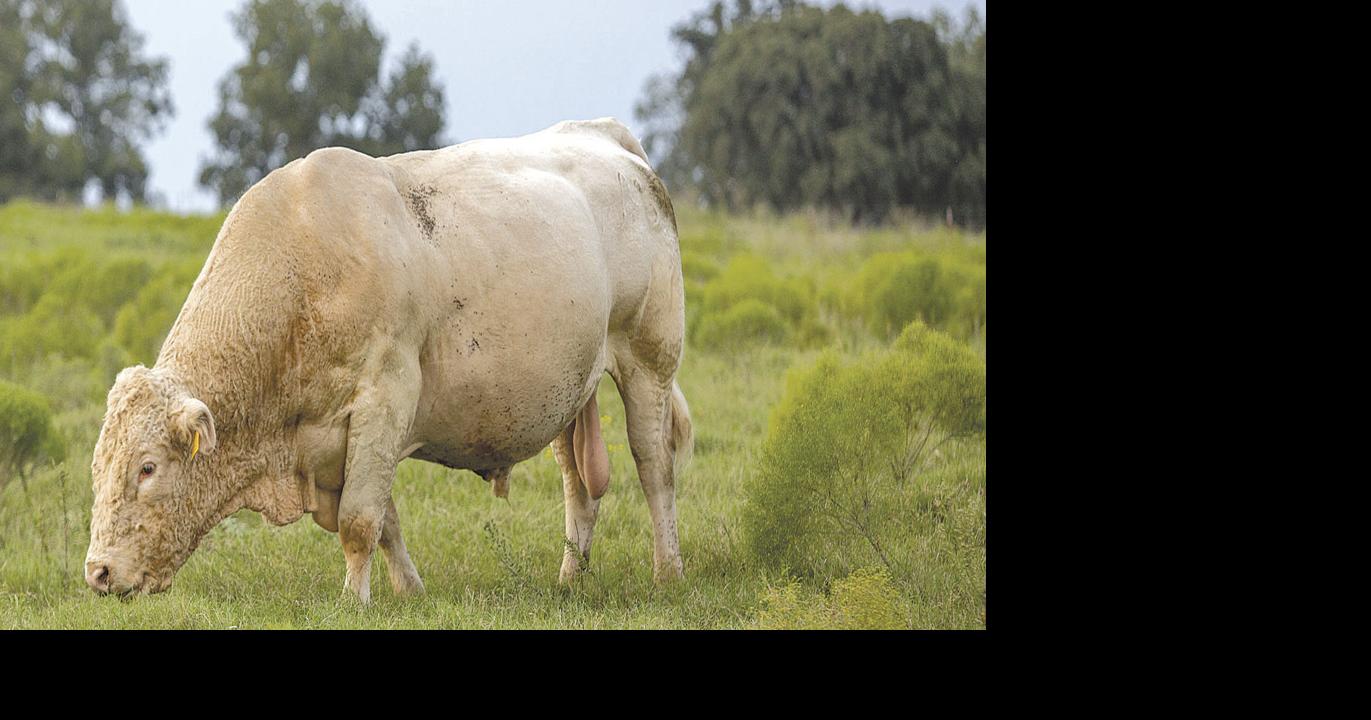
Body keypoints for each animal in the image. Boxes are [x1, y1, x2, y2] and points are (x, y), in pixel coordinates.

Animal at [84, 117, 693, 603]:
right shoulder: (351, 437)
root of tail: (605, 135)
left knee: (654, 467)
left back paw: (668, 573)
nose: (98, 572)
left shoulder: (386, 397)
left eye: (146, 468)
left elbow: (359, 520)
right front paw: (409, 590)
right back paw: (570, 578)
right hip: (570, 391)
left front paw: (353, 602)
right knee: (579, 484)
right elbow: (385, 521)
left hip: (649, 360)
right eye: (98, 467)